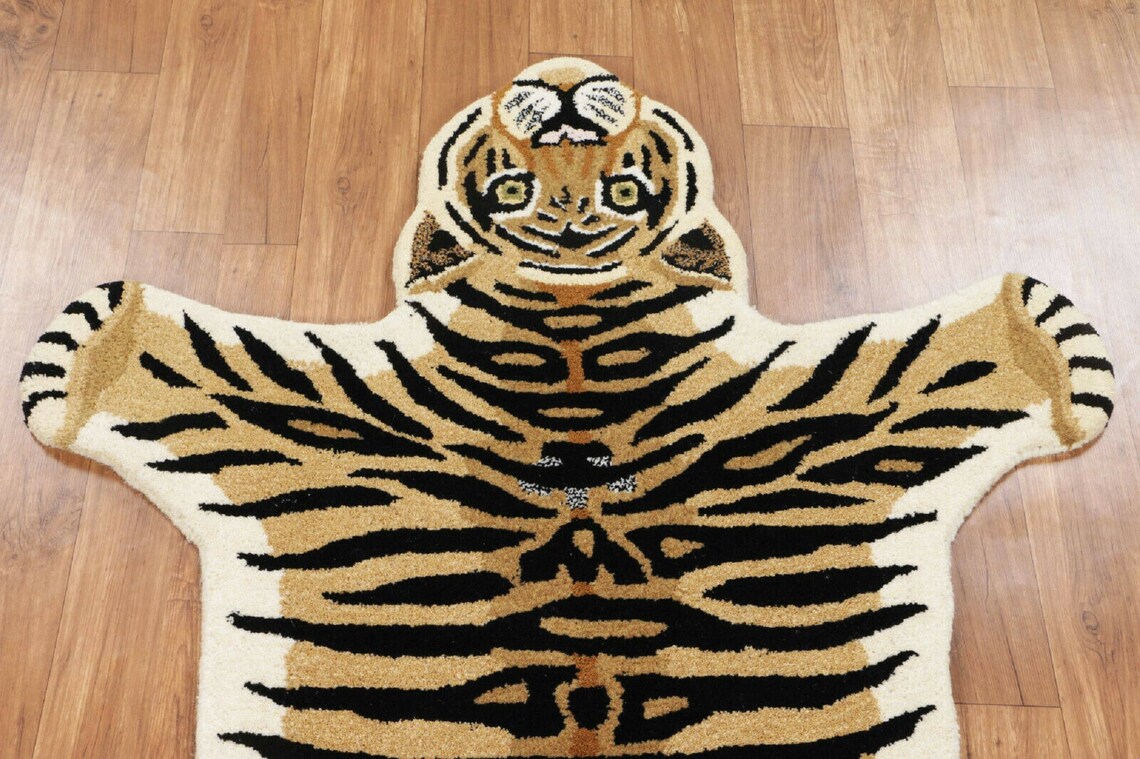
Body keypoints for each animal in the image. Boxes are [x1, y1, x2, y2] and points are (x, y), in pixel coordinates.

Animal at [20, 57, 1114, 758]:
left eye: (628, 183)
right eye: (509, 181)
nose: (556, 82)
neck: (574, 329)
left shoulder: (819, 406)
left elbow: (935, 354)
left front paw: (1053, 342)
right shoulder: (329, 409)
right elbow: (206, 360)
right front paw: (85, 348)